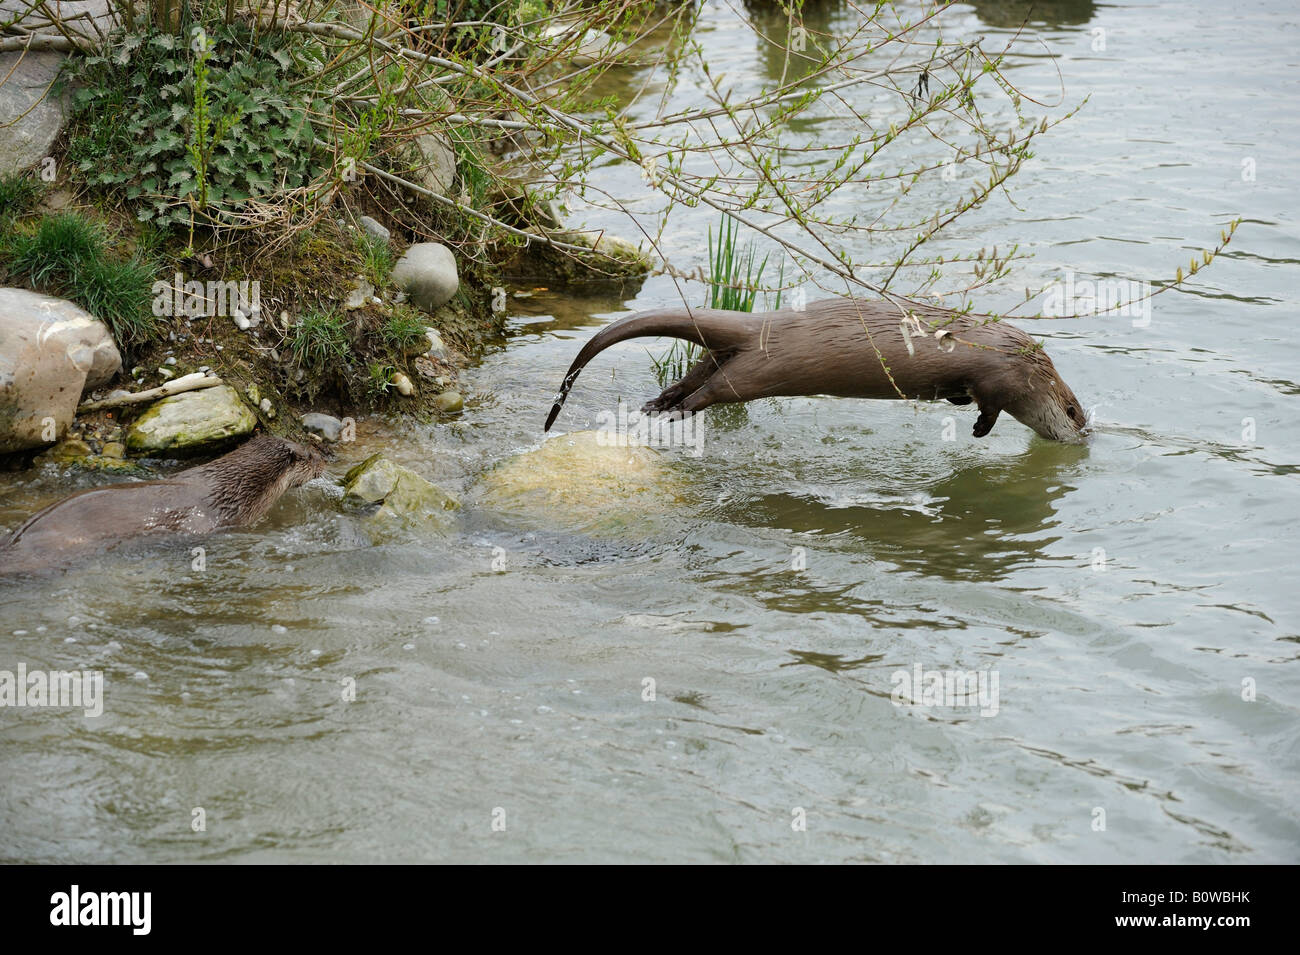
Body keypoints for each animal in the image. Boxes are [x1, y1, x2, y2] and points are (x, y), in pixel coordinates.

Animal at [544, 299, 1087, 441]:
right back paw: (674, 414)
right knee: (709, 393)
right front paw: (977, 429)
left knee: (689, 379)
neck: (1021, 358)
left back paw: (656, 404)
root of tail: (759, 323)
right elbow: (989, 404)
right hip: (757, 371)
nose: (1081, 438)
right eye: (1076, 415)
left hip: (725, 356)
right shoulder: (998, 376)